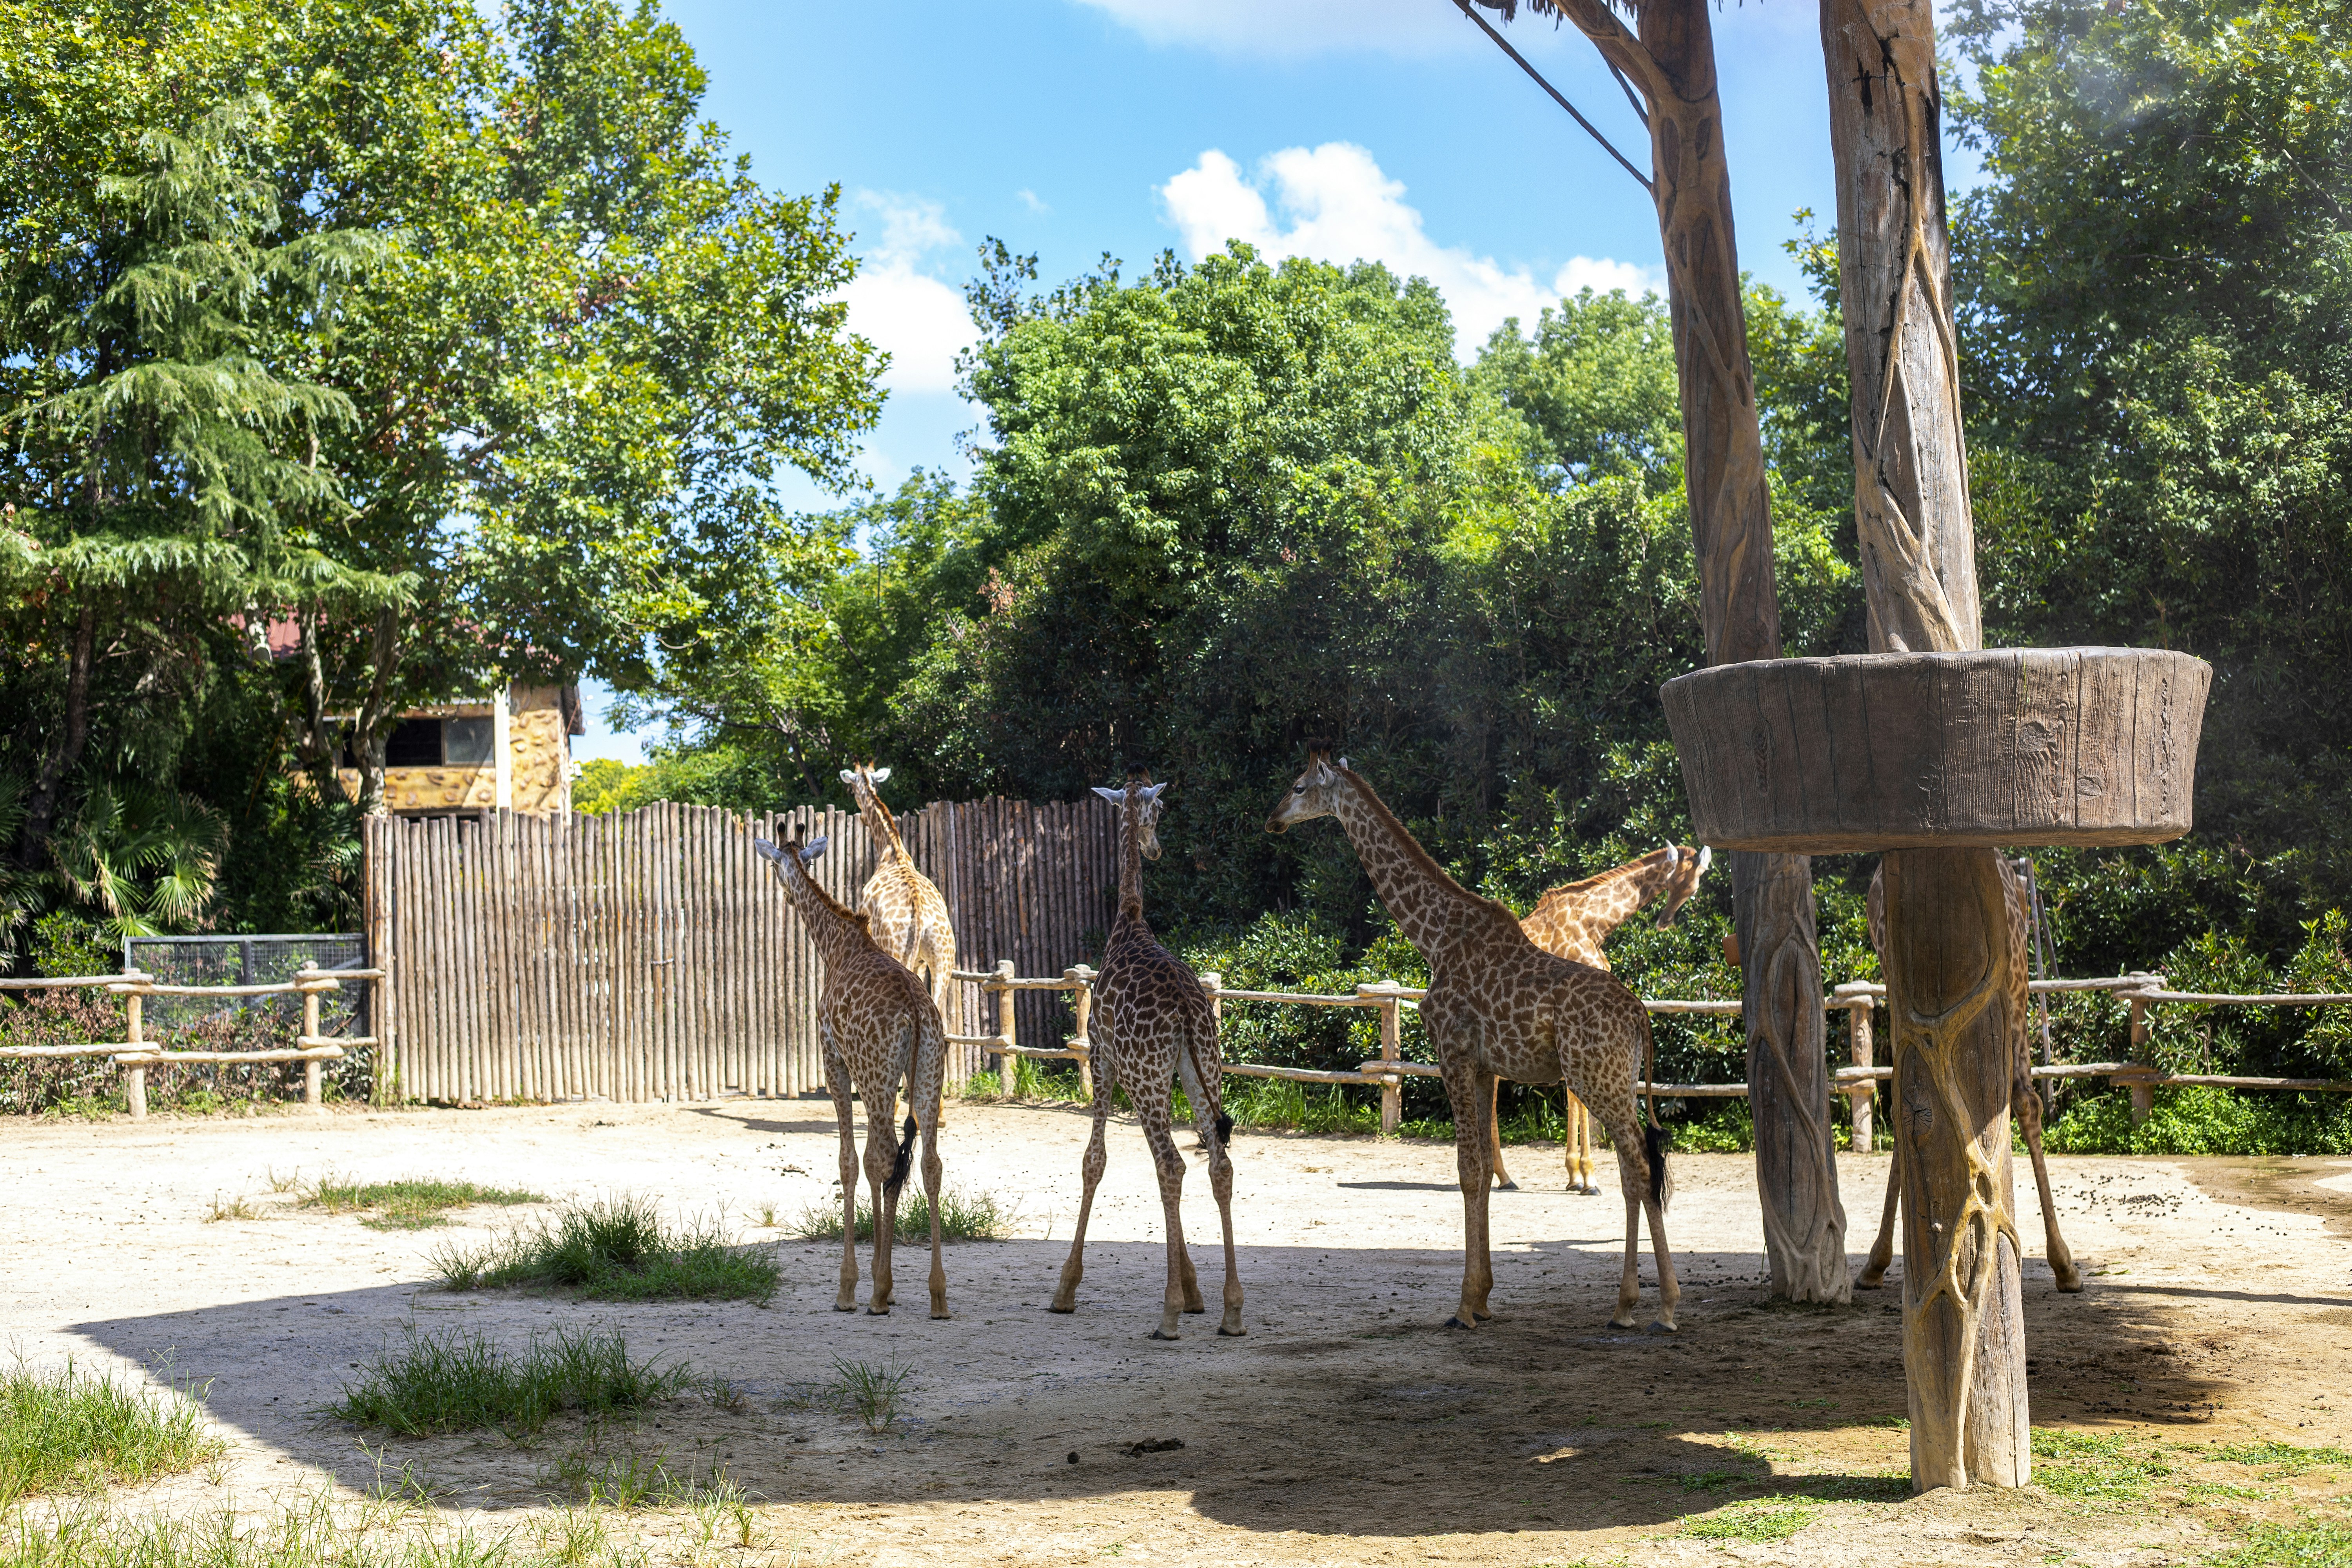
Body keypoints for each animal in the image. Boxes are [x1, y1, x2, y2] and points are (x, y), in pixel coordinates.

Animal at [754, 831, 953, 1319]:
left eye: (774, 865)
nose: (787, 896)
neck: (836, 943)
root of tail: (916, 1013)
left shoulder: (835, 1060)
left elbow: (849, 1162)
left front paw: (851, 1287)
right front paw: (889, 1284)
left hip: (878, 1073)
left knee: (883, 1156)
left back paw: (878, 1291)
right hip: (927, 1073)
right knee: (930, 1163)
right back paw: (937, 1295)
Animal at [1050, 771, 1245, 1340]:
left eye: (1157, 813)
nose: (1155, 848)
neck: (1129, 920)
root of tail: (1184, 1008)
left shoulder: (1104, 1059)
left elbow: (1094, 1161)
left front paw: (1065, 1289)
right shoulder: (1155, 1071)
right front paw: (1198, 1292)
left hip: (1146, 1072)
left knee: (1173, 1164)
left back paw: (1168, 1314)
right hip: (1201, 1066)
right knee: (1217, 1164)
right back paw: (1231, 1312)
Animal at [1267, 748, 1680, 1331]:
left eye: (1300, 786)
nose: (1272, 819)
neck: (1434, 936)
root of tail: (1640, 1016)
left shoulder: (1454, 1056)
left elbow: (1466, 1171)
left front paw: (1463, 1307)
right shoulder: (1483, 1067)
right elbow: (1483, 1171)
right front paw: (1483, 1298)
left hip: (1596, 1077)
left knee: (1640, 1165)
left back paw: (1653, 1305)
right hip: (1615, 1081)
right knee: (1635, 1165)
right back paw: (1634, 1304)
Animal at [1493, 843, 1715, 1194]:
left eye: (1693, 888)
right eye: (1674, 881)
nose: (1664, 922)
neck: (1593, 924)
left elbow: (1574, 1096)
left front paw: (1575, 1176)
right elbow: (1578, 1096)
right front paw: (1587, 1177)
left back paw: (1501, 1174)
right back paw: (1502, 1175)